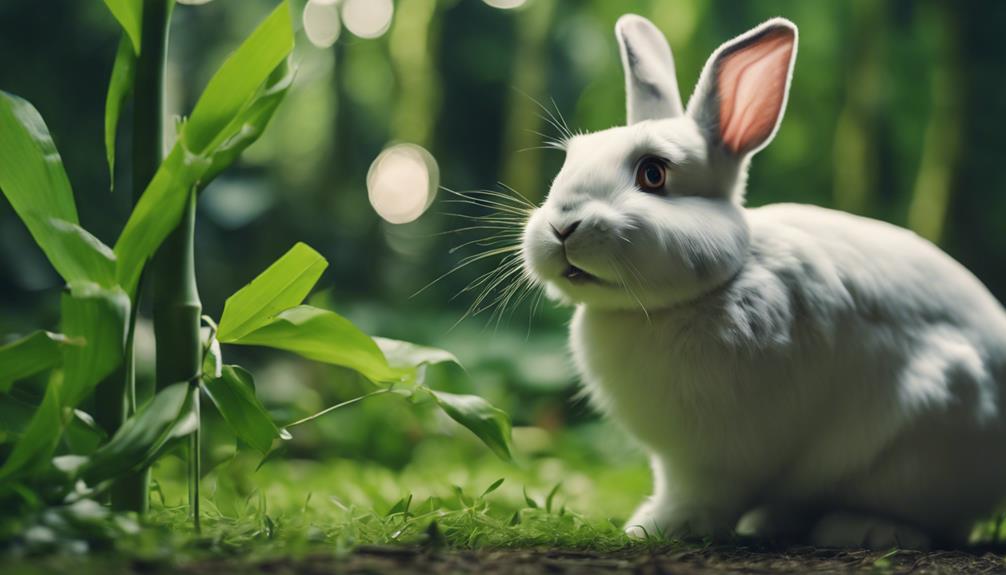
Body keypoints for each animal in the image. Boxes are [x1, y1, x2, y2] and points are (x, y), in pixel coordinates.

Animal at [519, 14, 1006, 550]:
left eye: (653, 174)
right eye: (569, 160)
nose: (562, 226)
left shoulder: (713, 457)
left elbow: (698, 495)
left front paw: (657, 526)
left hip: (929, 433)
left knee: (941, 522)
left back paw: (862, 528)